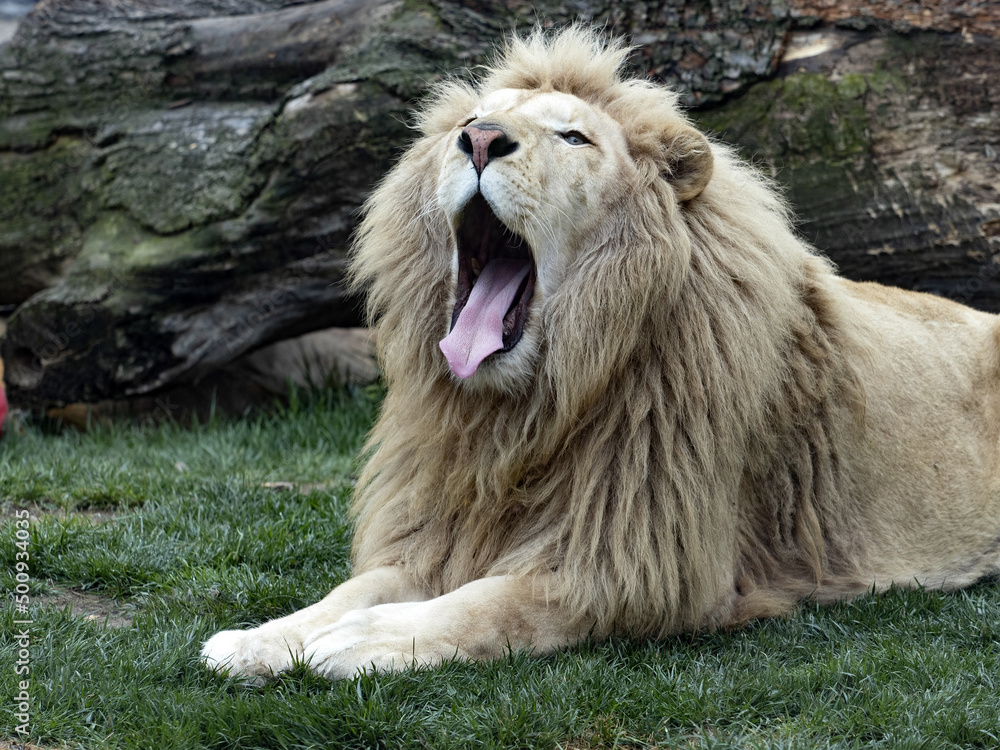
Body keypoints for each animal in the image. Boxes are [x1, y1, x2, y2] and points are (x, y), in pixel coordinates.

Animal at [201, 27, 1000, 681]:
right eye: (466, 121)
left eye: (572, 137)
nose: (481, 140)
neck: (520, 414)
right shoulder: (441, 529)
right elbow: (352, 588)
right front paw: (261, 639)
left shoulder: (637, 569)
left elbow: (484, 605)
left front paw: (364, 640)